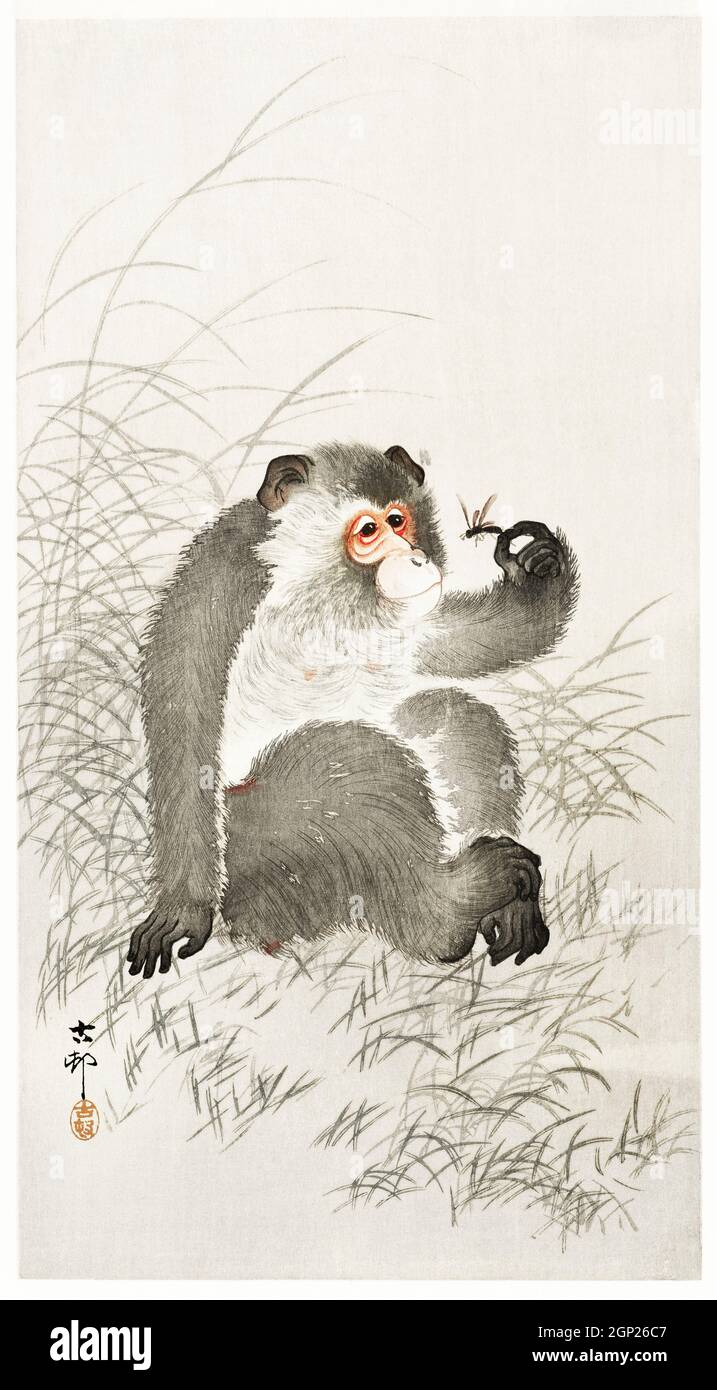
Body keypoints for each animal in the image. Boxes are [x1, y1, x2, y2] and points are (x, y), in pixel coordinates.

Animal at [128, 441, 578, 979]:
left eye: (399, 520)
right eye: (369, 531)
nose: (417, 560)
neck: (319, 592)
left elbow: (450, 644)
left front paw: (534, 570)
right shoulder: (223, 580)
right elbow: (184, 729)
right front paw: (183, 909)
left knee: (450, 719)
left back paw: (501, 906)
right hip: (254, 848)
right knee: (352, 762)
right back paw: (447, 915)